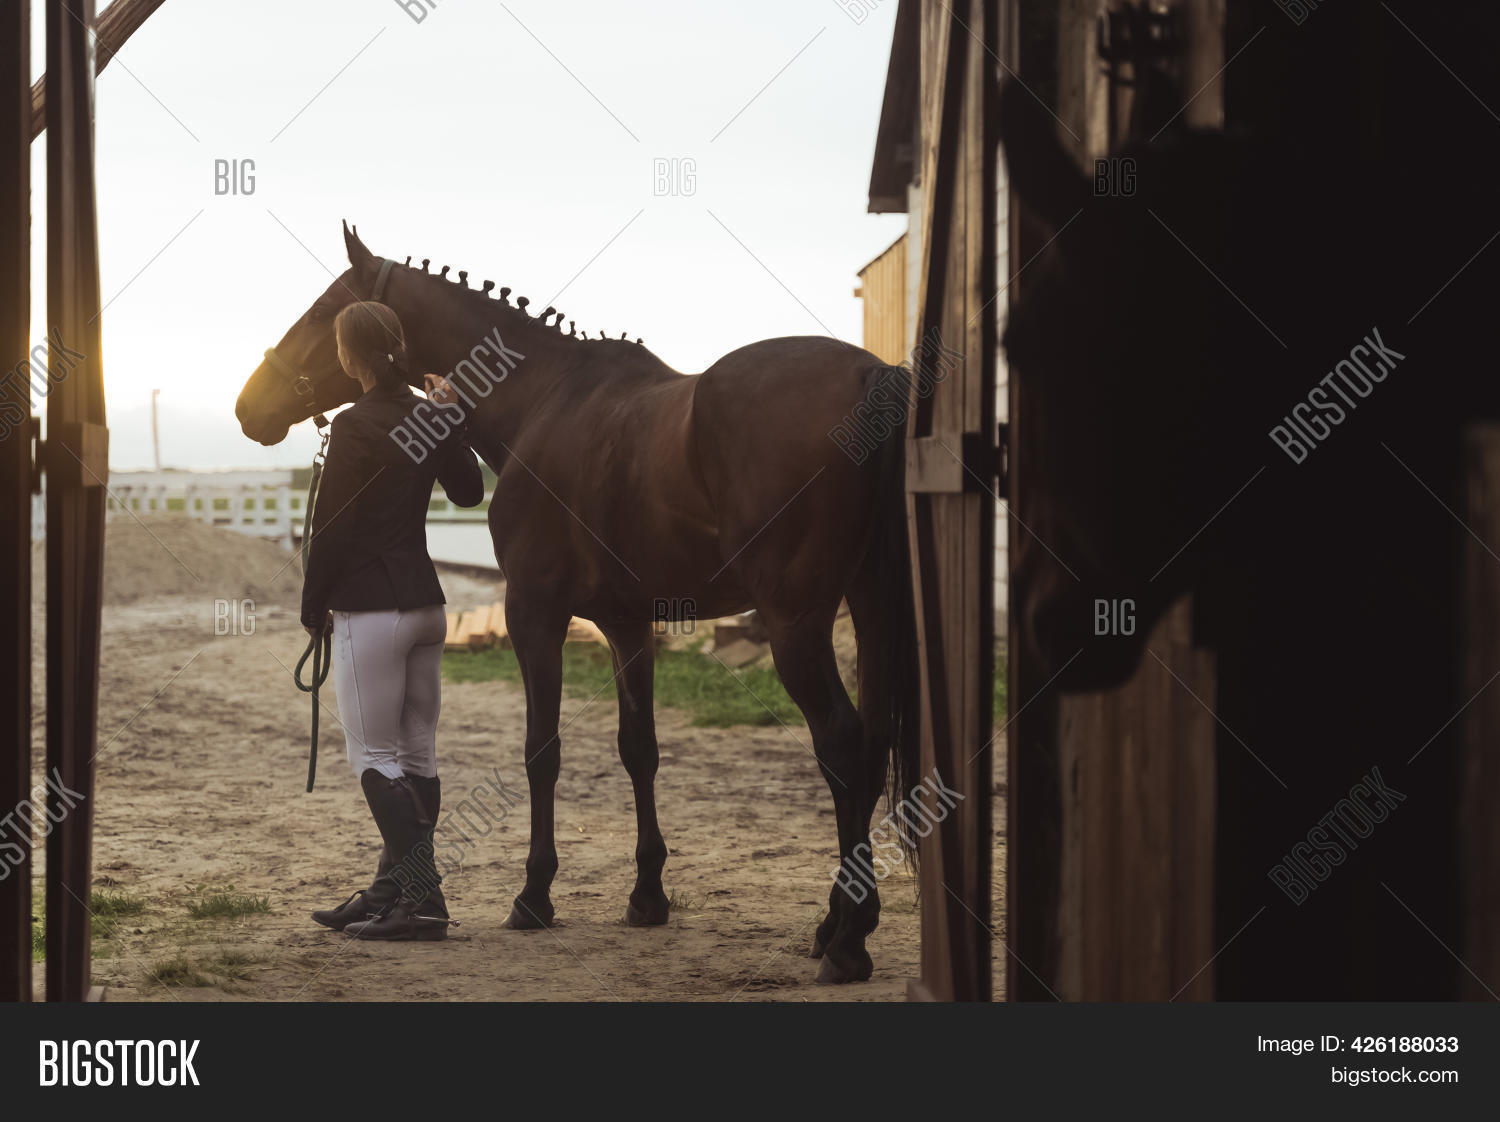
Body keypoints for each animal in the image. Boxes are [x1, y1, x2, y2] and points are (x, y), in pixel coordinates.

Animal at [236, 224, 921, 983]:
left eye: (323, 312)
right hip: (870, 605)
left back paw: (847, 940)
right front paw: (647, 895)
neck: (543, 400)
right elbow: (639, 749)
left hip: (796, 624)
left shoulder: (535, 614)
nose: (247, 408)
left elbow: (542, 750)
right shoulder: (629, 624)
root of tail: (871, 376)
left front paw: (534, 895)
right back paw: (837, 924)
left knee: (843, 746)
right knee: (874, 744)